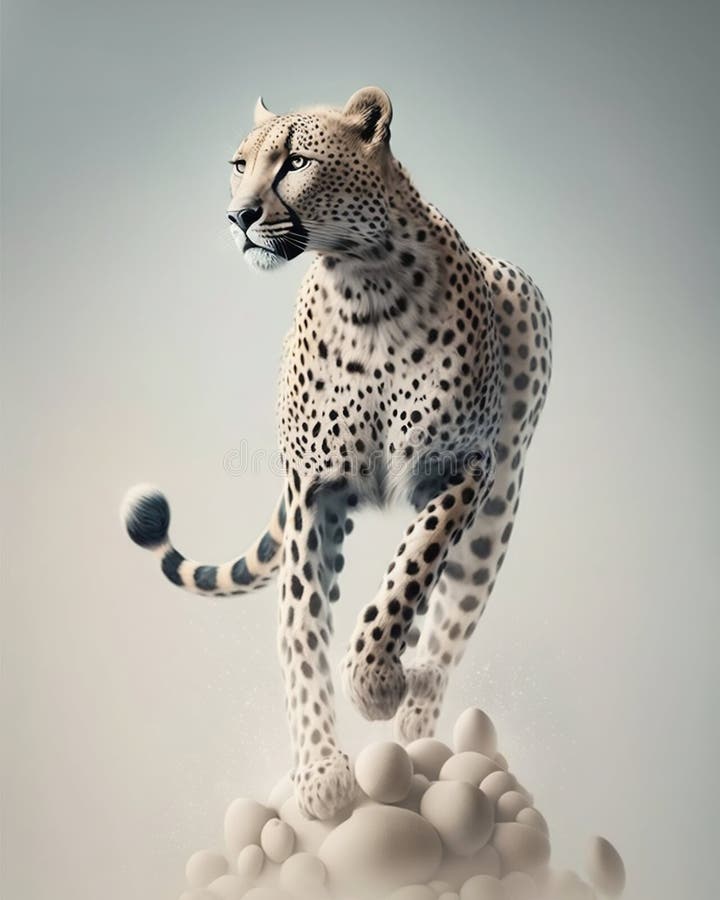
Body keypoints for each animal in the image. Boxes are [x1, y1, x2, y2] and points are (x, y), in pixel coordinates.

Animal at [122, 87, 552, 821]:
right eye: (239, 164)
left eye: (295, 162)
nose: (239, 216)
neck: (366, 285)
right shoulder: (312, 492)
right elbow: (300, 630)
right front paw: (321, 768)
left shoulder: (465, 469)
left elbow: (412, 564)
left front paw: (374, 677)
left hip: (499, 501)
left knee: (451, 616)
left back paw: (417, 715)